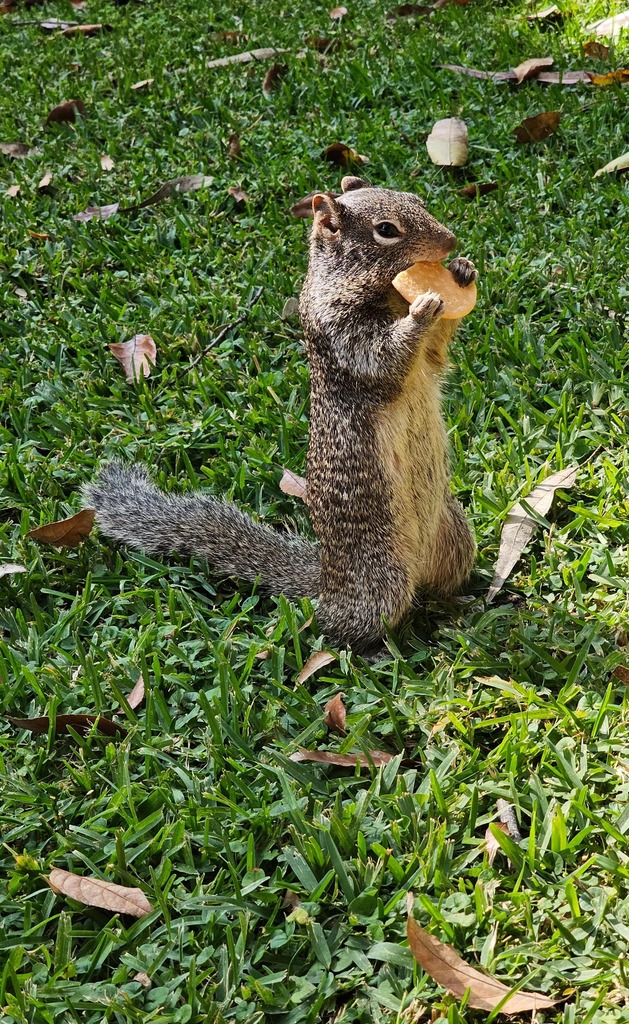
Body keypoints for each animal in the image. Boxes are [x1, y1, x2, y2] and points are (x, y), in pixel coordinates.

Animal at [83, 176, 476, 652]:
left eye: (416, 201)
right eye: (386, 230)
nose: (450, 241)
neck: (384, 292)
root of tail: (327, 582)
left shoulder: (421, 356)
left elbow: (434, 356)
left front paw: (463, 271)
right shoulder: (341, 337)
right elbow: (384, 359)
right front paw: (423, 310)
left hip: (455, 536)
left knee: (439, 587)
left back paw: (462, 603)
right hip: (380, 576)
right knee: (344, 625)